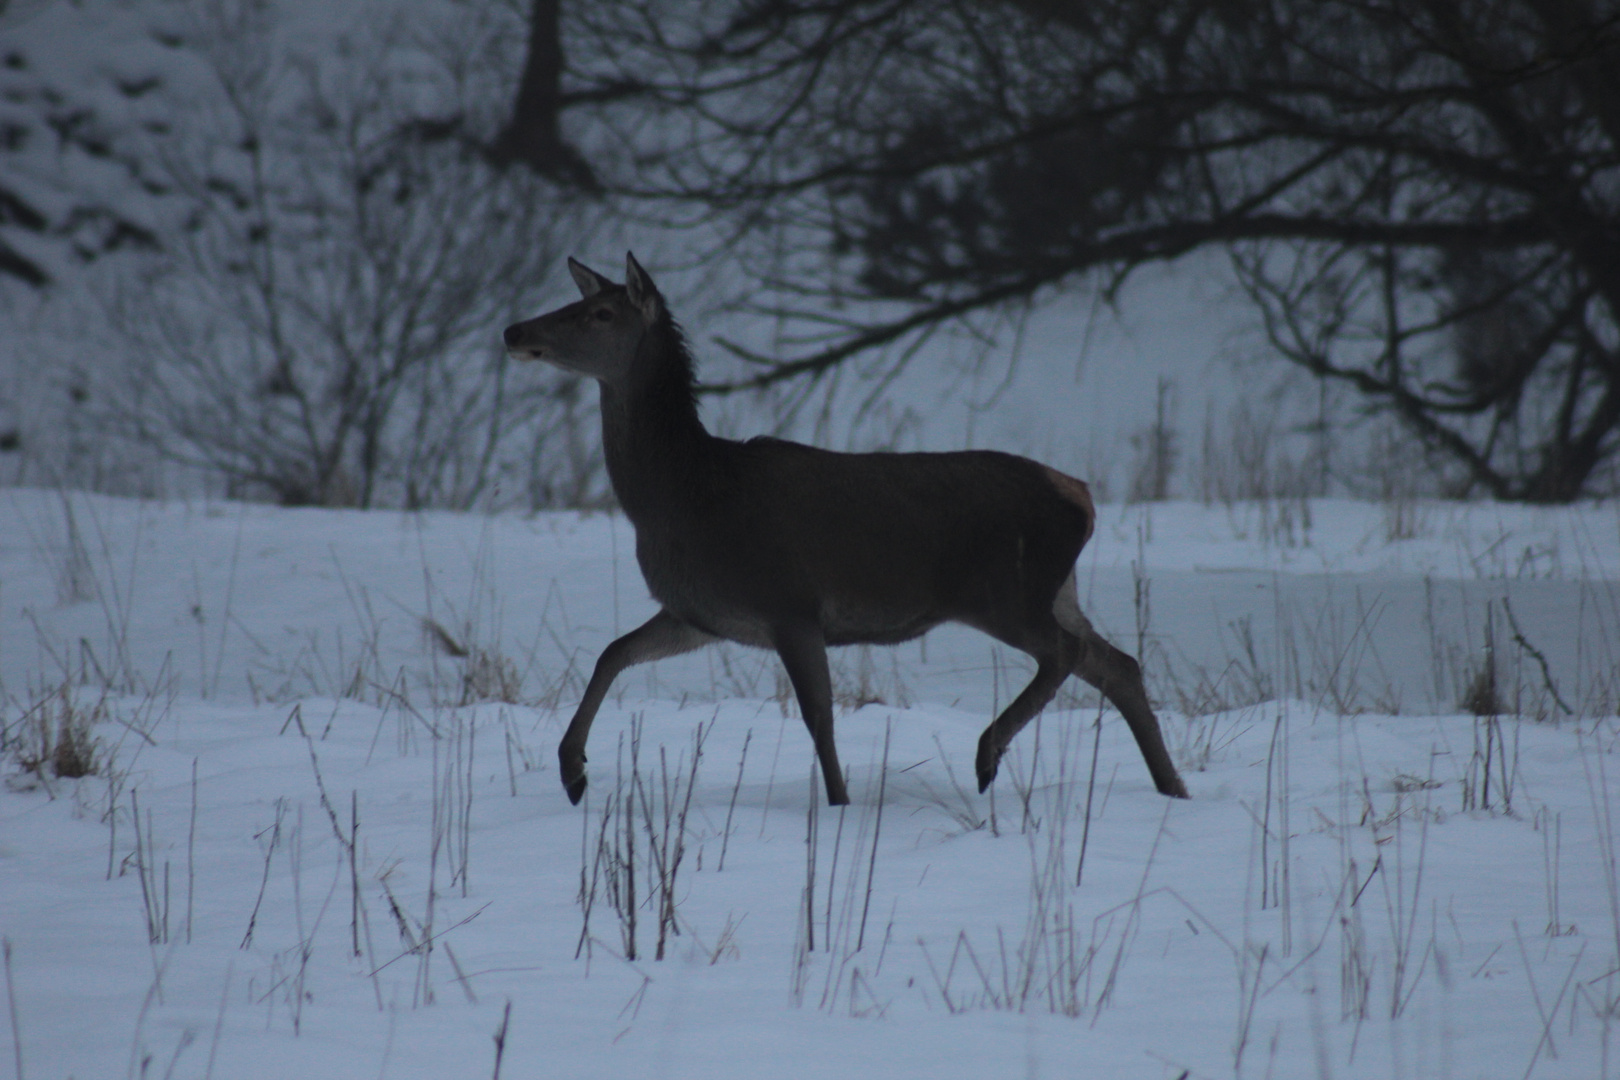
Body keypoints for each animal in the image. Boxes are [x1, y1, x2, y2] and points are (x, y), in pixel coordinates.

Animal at [505, 254, 1192, 806]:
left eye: (599, 313)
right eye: (573, 302)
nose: (515, 330)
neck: (682, 498)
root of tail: (1083, 496)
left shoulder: (788, 603)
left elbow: (819, 717)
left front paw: (838, 804)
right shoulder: (701, 614)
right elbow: (613, 652)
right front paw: (572, 771)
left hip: (1005, 590)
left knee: (1068, 653)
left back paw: (988, 753)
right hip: (1054, 588)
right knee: (1118, 664)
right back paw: (1172, 787)